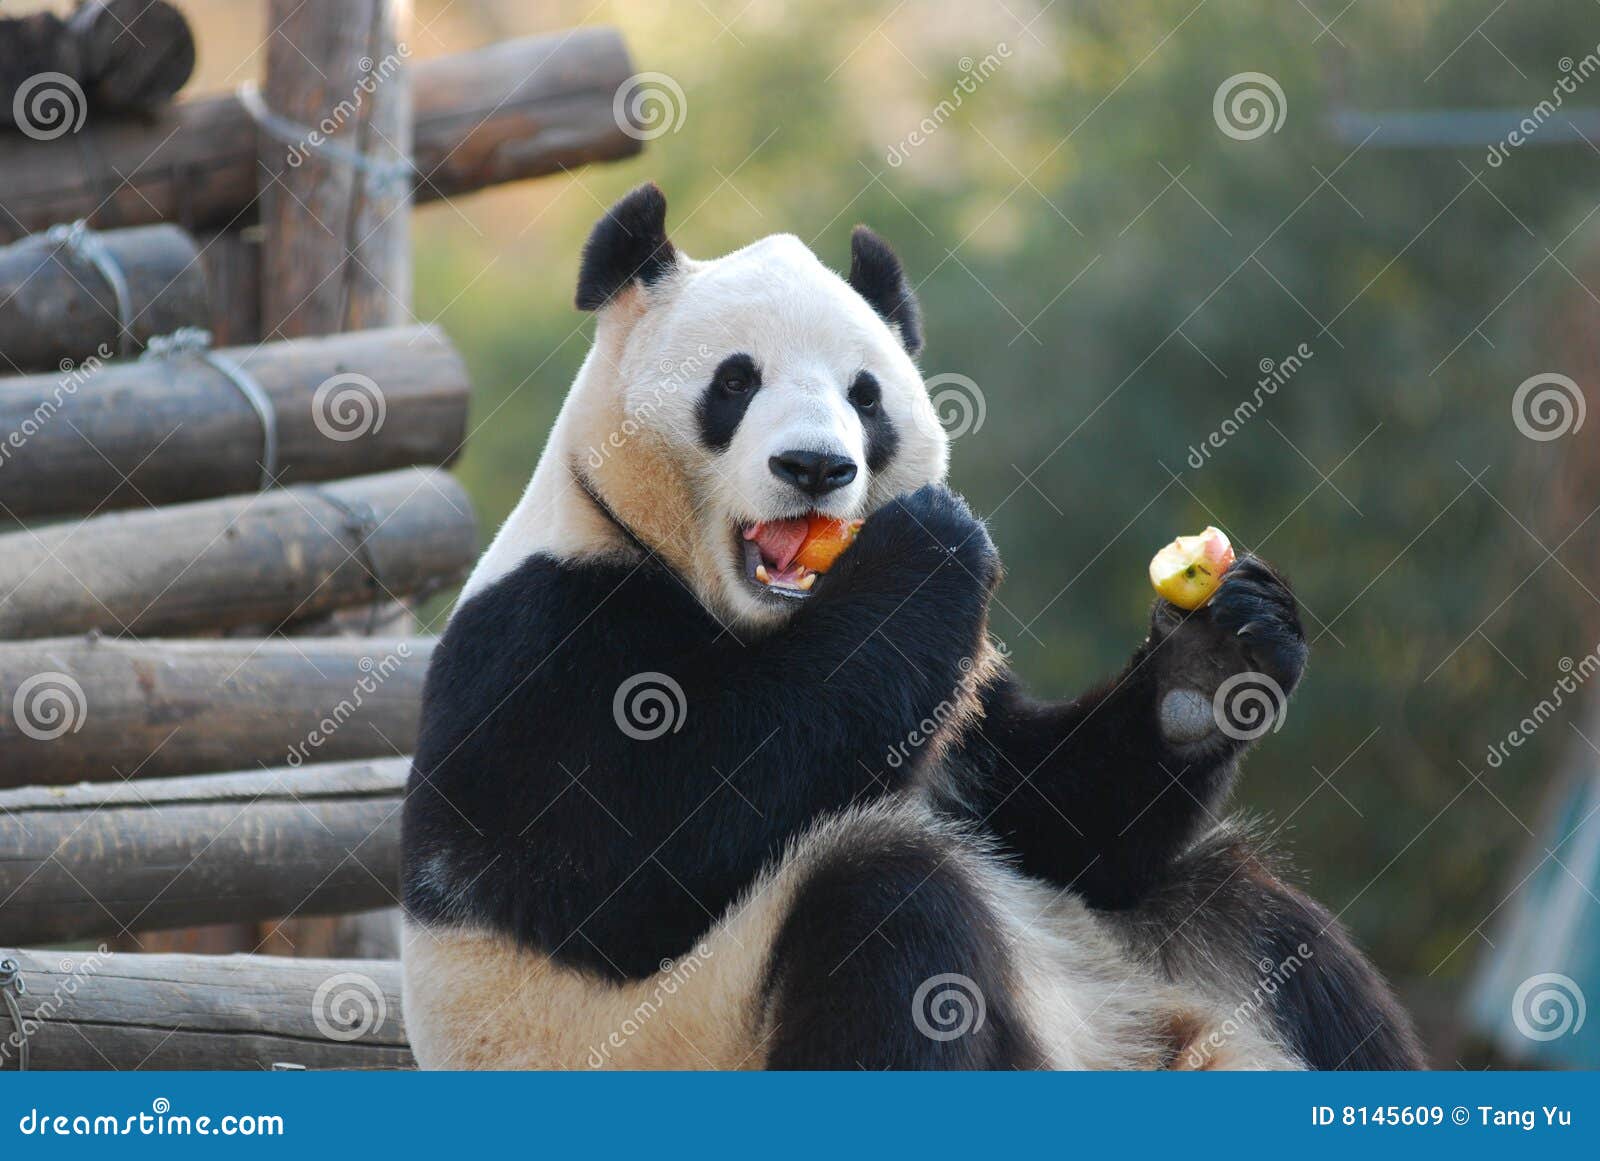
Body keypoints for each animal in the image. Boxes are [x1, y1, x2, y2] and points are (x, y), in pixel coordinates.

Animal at [400, 183, 1423, 1071]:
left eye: (866, 395)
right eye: (735, 381)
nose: (816, 467)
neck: (754, 616)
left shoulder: (950, 691)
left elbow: (1052, 817)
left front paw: (1216, 654)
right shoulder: (540, 634)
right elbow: (627, 857)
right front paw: (931, 544)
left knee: (1250, 917)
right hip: (692, 1029)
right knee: (885, 910)